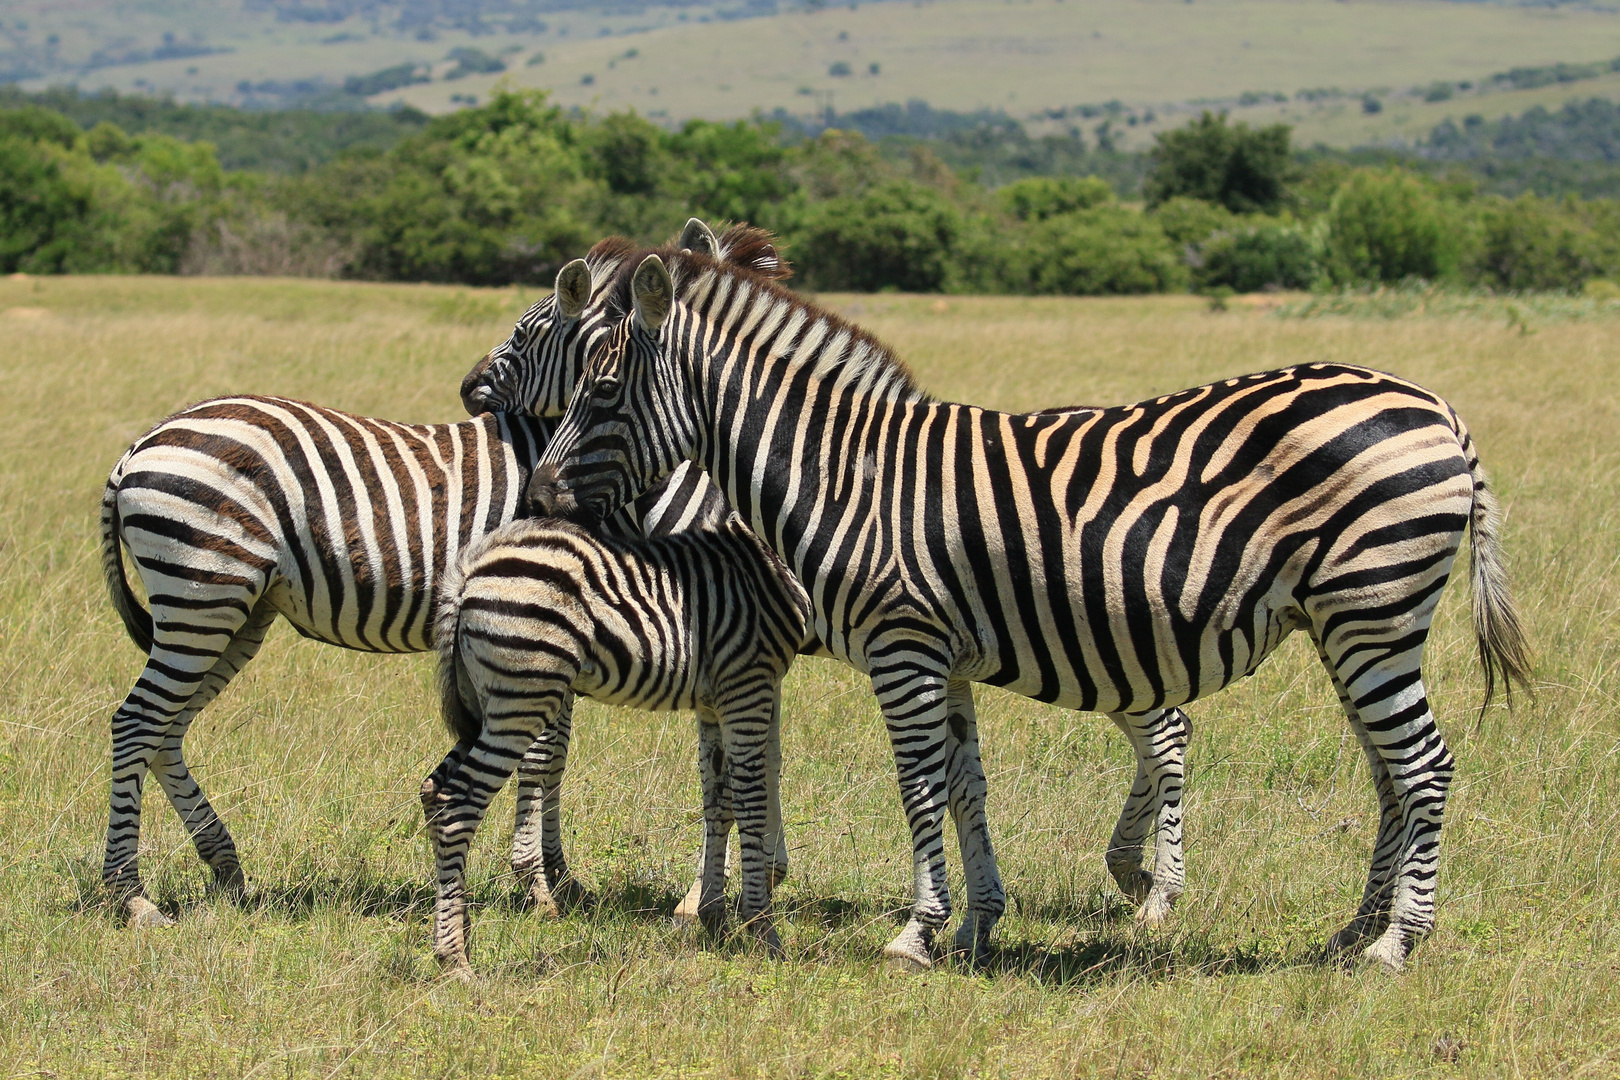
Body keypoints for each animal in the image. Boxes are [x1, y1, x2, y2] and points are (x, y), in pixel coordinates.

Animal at [424, 510, 812, 973]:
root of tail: (467, 574)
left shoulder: (714, 702)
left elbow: (721, 802)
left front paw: (713, 918)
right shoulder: (747, 684)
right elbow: (751, 802)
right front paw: (762, 930)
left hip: (486, 704)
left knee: (433, 791)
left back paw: (456, 925)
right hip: (523, 695)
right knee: (457, 806)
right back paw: (454, 957)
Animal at [527, 250, 1532, 974]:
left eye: (602, 391)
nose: (536, 496)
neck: (849, 474)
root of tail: (1437, 408)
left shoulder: (902, 645)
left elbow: (916, 785)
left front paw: (915, 934)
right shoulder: (946, 657)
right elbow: (965, 785)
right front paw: (976, 927)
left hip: (1373, 613)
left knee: (1425, 766)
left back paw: (1396, 945)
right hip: (1348, 627)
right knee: (1387, 772)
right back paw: (1351, 932)